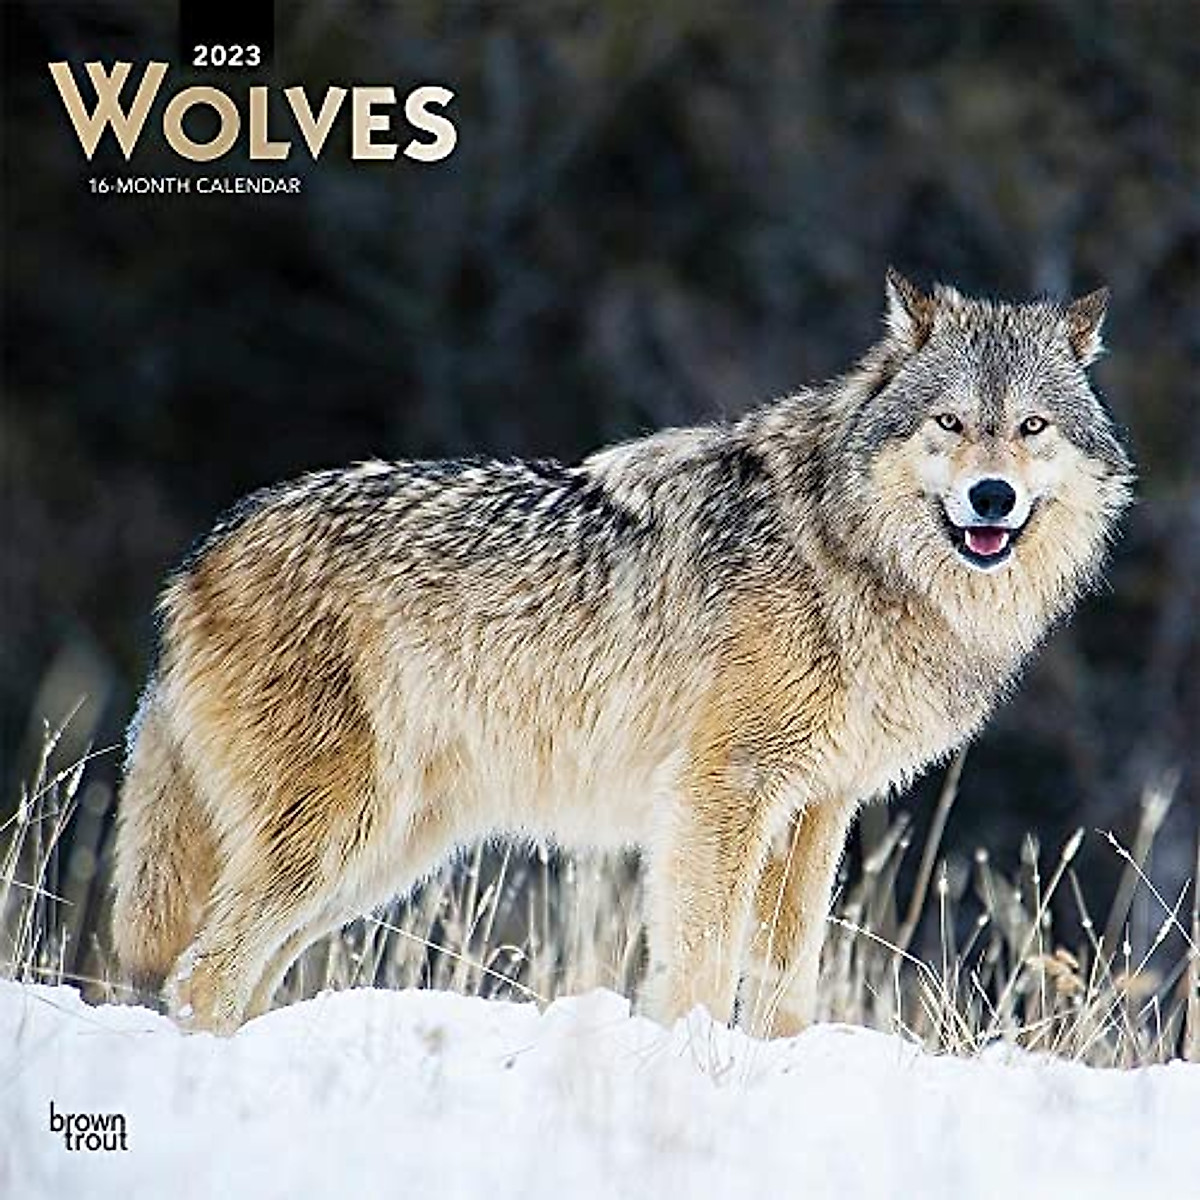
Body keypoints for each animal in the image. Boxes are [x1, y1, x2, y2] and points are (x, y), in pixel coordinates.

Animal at [111, 272, 1132, 1036]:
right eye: (951, 424)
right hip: (339, 833)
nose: (993, 497)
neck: (847, 552)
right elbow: (702, 961)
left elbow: (786, 978)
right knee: (203, 973)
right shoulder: (721, 793)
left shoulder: (818, 808)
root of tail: (200, 555)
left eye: (1032, 427)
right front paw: (690, 1061)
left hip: (381, 853)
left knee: (237, 973)